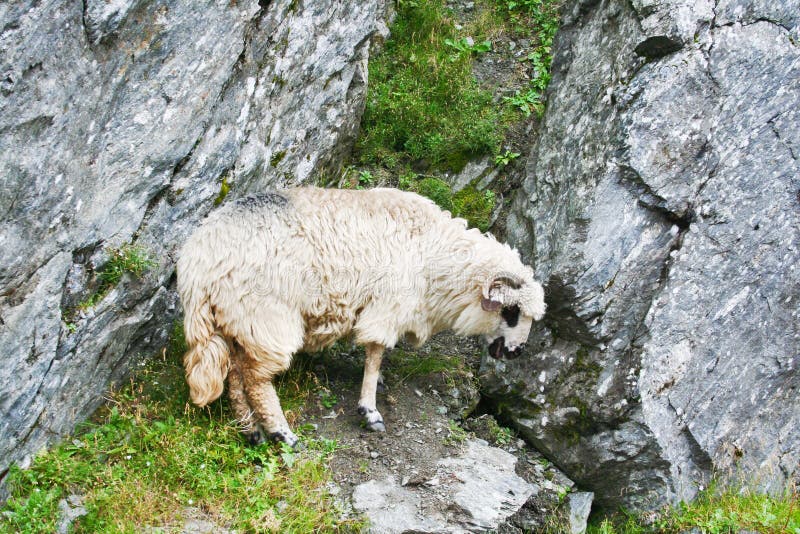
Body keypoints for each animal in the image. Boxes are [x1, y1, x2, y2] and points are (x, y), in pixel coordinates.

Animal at [177, 187, 545, 446]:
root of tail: (198, 260)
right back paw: (282, 433)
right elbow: (376, 353)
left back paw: (251, 431)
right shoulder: (387, 305)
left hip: (234, 321)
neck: (434, 255)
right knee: (255, 380)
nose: (517, 352)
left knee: (235, 375)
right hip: (265, 318)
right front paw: (370, 410)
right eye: (511, 311)